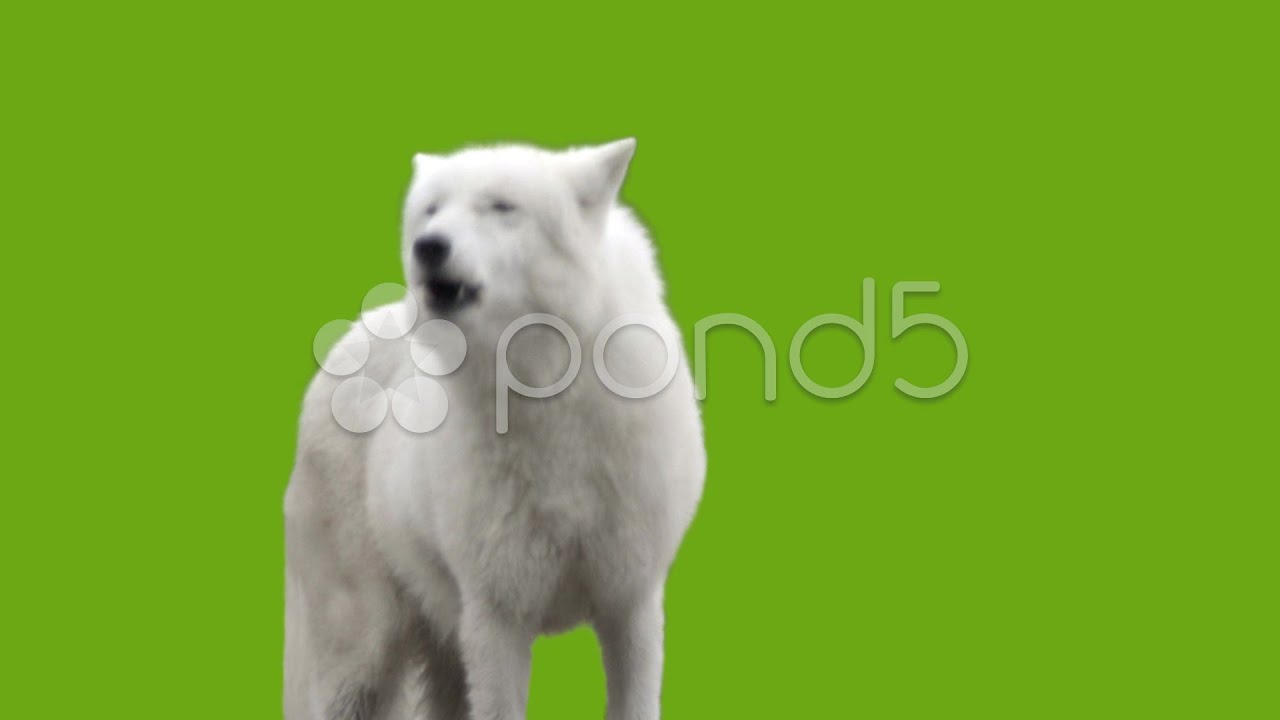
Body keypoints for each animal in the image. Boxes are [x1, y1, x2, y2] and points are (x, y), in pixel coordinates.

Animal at [285, 140, 706, 720]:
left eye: (502, 207)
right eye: (432, 210)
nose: (428, 246)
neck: (547, 397)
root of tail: (355, 330)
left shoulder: (631, 603)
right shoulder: (496, 617)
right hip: (363, 652)